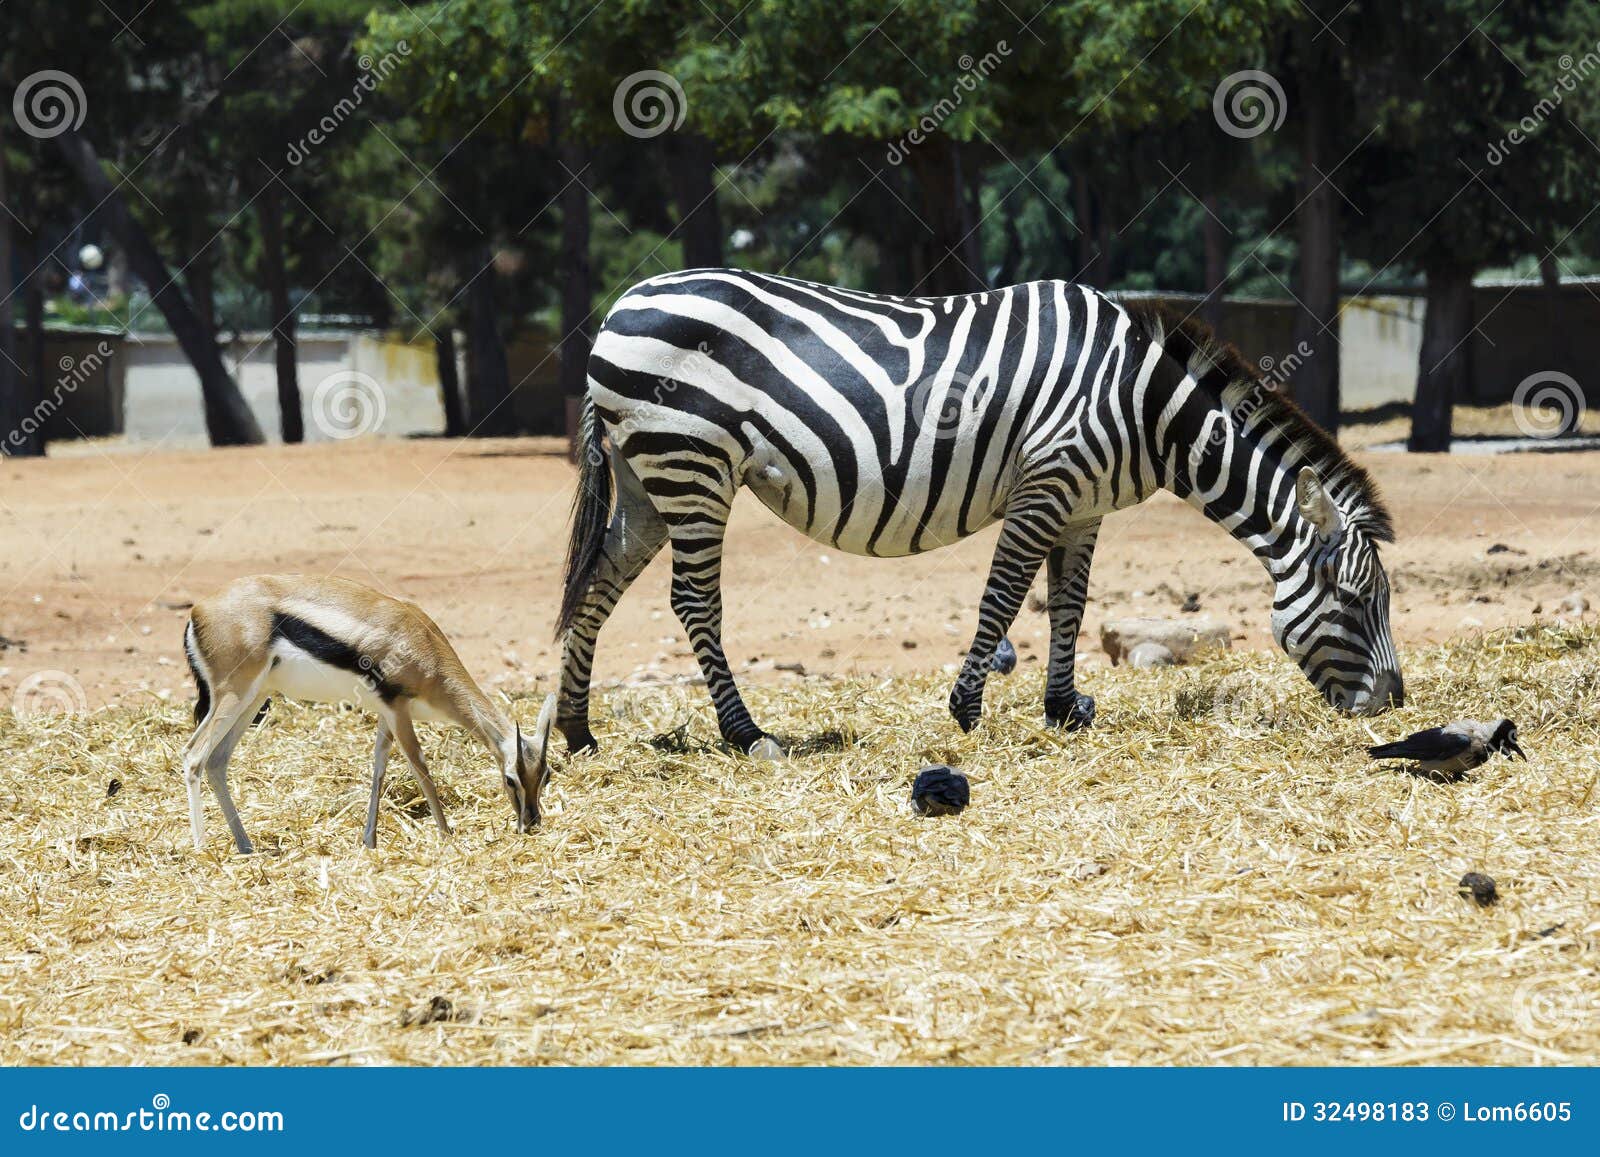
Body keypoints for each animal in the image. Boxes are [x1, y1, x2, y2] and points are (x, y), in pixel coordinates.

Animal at [181, 574, 555, 853]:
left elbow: (379, 768)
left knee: (217, 760)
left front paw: (369, 841)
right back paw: (201, 848)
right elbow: (420, 768)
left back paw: (246, 846)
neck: (424, 645)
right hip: (234, 695)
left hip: (255, 697)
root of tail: (199, 610)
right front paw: (448, 838)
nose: (531, 822)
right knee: (194, 755)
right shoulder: (398, 710)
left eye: (547, 775)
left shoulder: (386, 715)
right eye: (510, 778)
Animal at [556, 269, 1403, 756]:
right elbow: (1004, 595)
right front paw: (966, 708)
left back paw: (577, 731)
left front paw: (1063, 708)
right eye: (1356, 599)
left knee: (596, 586)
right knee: (694, 599)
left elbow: (1068, 603)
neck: (1144, 409)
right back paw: (746, 734)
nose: (1396, 702)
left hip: (646, 477)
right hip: (691, 461)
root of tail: (621, 304)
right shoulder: (1047, 482)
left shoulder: (1085, 508)